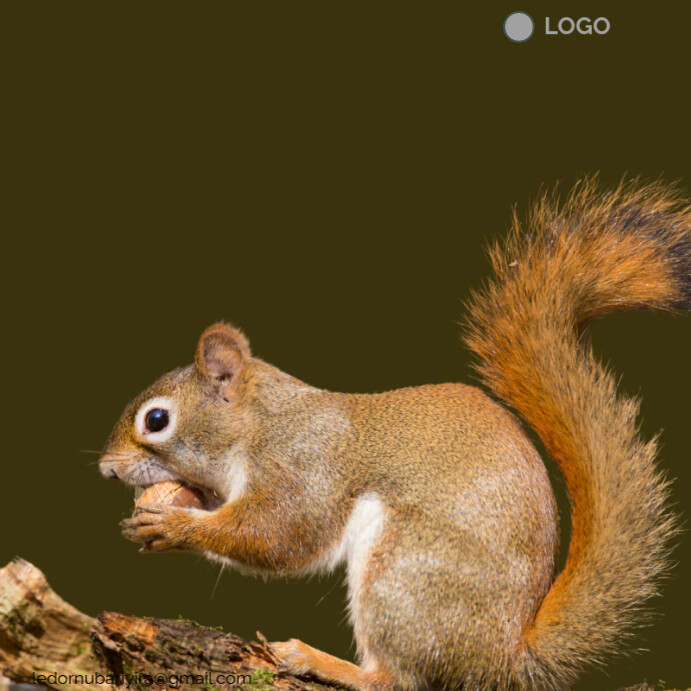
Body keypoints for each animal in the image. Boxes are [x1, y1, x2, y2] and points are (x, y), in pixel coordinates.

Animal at [100, 177, 689, 691]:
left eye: (157, 420)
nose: (107, 468)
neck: (261, 423)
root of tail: (505, 657)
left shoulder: (304, 464)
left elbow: (278, 536)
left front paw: (173, 526)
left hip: (402, 573)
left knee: (395, 679)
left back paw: (318, 661)